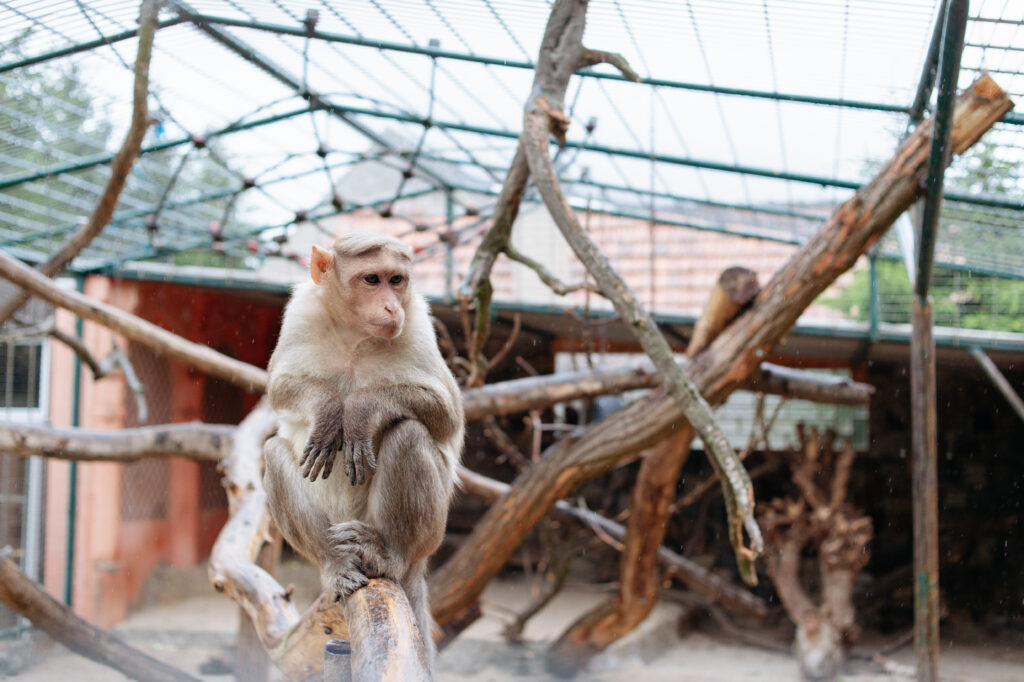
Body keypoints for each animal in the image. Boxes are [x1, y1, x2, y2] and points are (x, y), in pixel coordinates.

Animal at [262, 231, 463, 663]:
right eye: (372, 279)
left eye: (396, 280)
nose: (390, 306)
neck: (355, 336)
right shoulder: (302, 312)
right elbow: (279, 385)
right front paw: (327, 410)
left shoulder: (417, 323)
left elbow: (447, 414)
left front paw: (359, 409)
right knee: (274, 453)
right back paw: (335, 563)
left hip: (430, 532)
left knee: (408, 432)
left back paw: (389, 553)